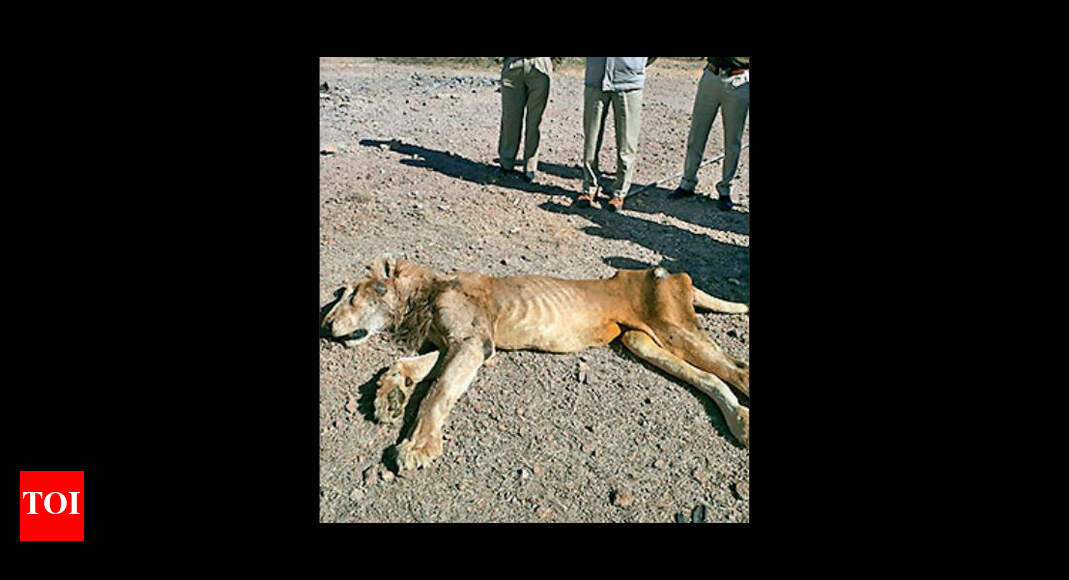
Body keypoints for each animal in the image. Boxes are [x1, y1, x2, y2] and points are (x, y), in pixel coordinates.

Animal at [321, 258, 749, 471]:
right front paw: (389, 395)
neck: (420, 296)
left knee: (737, 368)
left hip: (674, 328)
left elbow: (437, 393)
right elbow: (406, 364)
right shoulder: (454, 344)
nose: (325, 325)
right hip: (642, 342)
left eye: (352, 296)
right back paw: (739, 421)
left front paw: (416, 446)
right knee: (709, 378)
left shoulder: (475, 344)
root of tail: (668, 272)